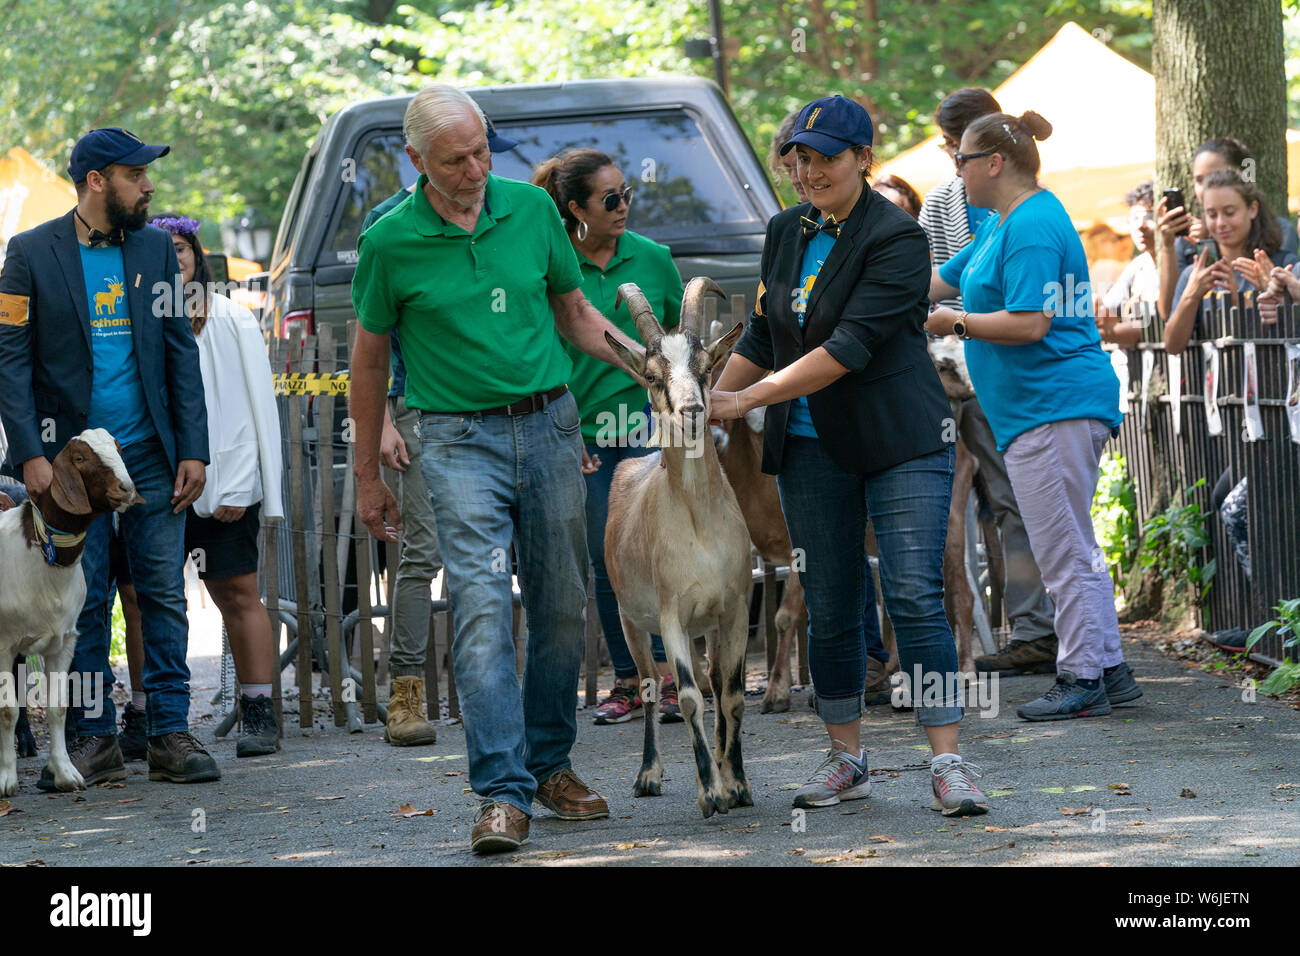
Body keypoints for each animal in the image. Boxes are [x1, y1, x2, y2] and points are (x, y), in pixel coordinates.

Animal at [0, 430, 142, 796]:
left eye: (119, 449)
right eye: (79, 458)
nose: (126, 488)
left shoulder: (63, 641)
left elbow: (58, 707)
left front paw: (65, 774)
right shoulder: (3, 643)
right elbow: (6, 709)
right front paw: (6, 780)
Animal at [603, 277, 752, 818]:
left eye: (705, 366)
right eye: (651, 375)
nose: (691, 412)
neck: (700, 527)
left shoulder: (734, 608)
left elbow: (731, 695)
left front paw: (736, 784)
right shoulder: (670, 615)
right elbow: (687, 696)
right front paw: (710, 791)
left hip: (705, 627)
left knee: (716, 682)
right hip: (630, 621)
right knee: (650, 688)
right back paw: (648, 775)